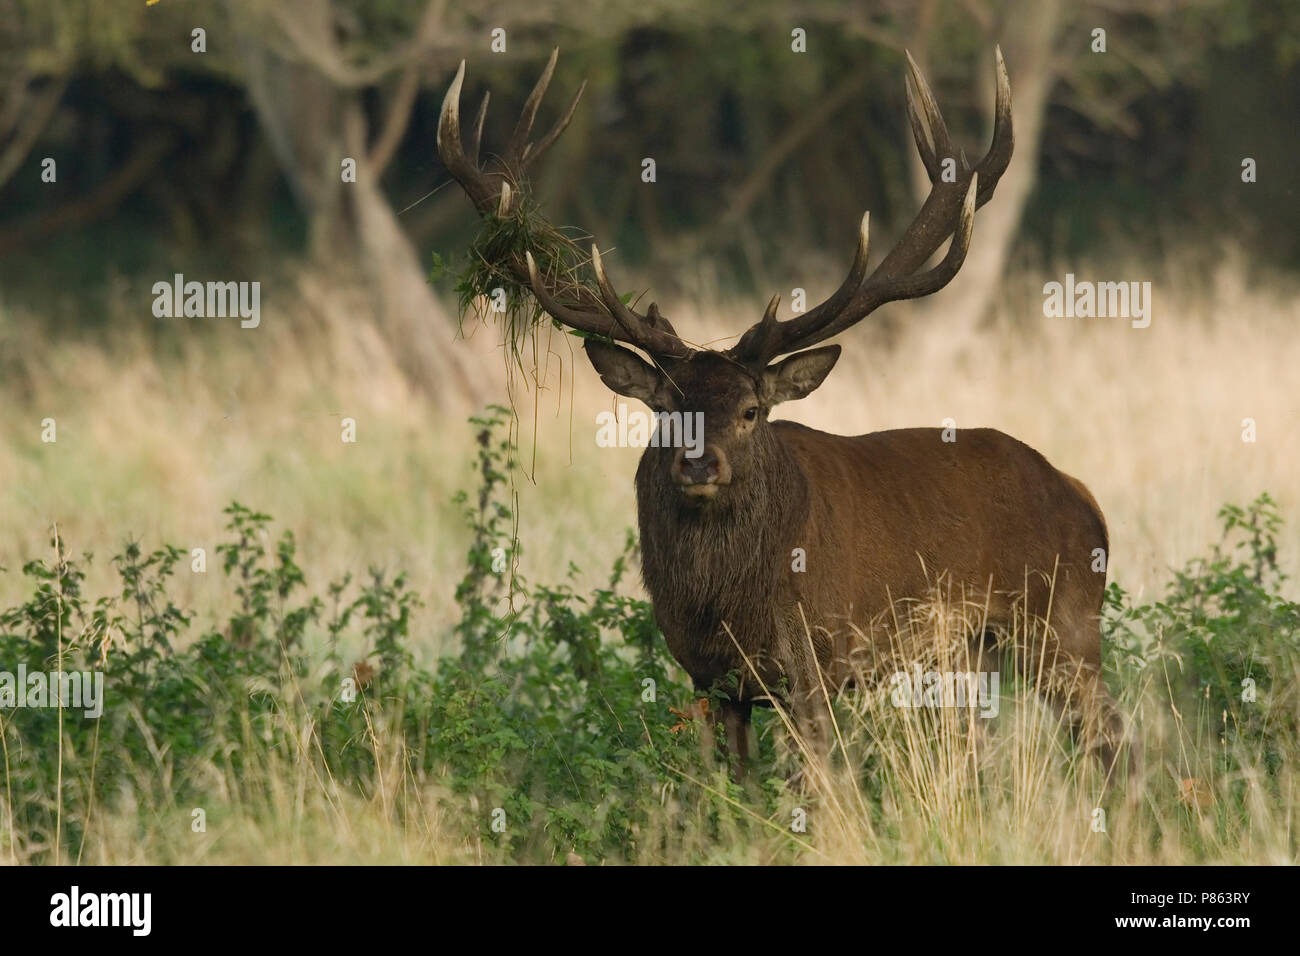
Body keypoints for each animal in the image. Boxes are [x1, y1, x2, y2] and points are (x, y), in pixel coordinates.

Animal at [437, 48, 1129, 783]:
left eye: (749, 409)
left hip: (1063, 623)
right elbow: (734, 785)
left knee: (1116, 737)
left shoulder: (816, 659)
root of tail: (1083, 497)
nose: (699, 465)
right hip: (976, 652)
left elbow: (815, 783)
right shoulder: (711, 679)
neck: (727, 608)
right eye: (666, 410)